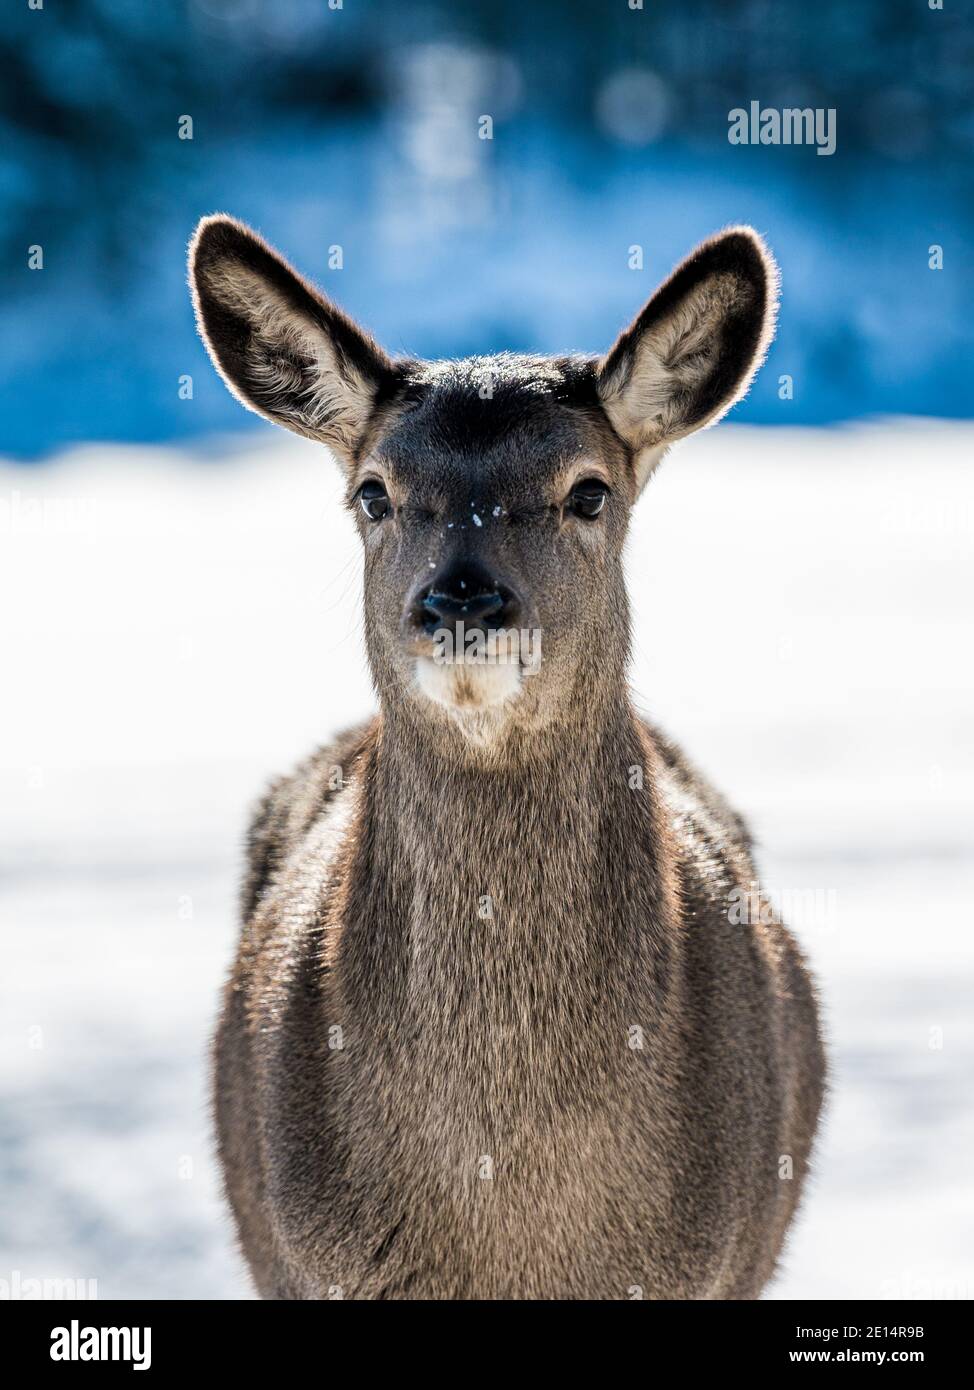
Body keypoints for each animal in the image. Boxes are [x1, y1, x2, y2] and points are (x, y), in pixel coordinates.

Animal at [189, 214, 825, 1300]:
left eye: (588, 491)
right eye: (373, 493)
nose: (462, 601)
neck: (507, 1234)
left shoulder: (716, 1261)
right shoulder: (304, 1260)